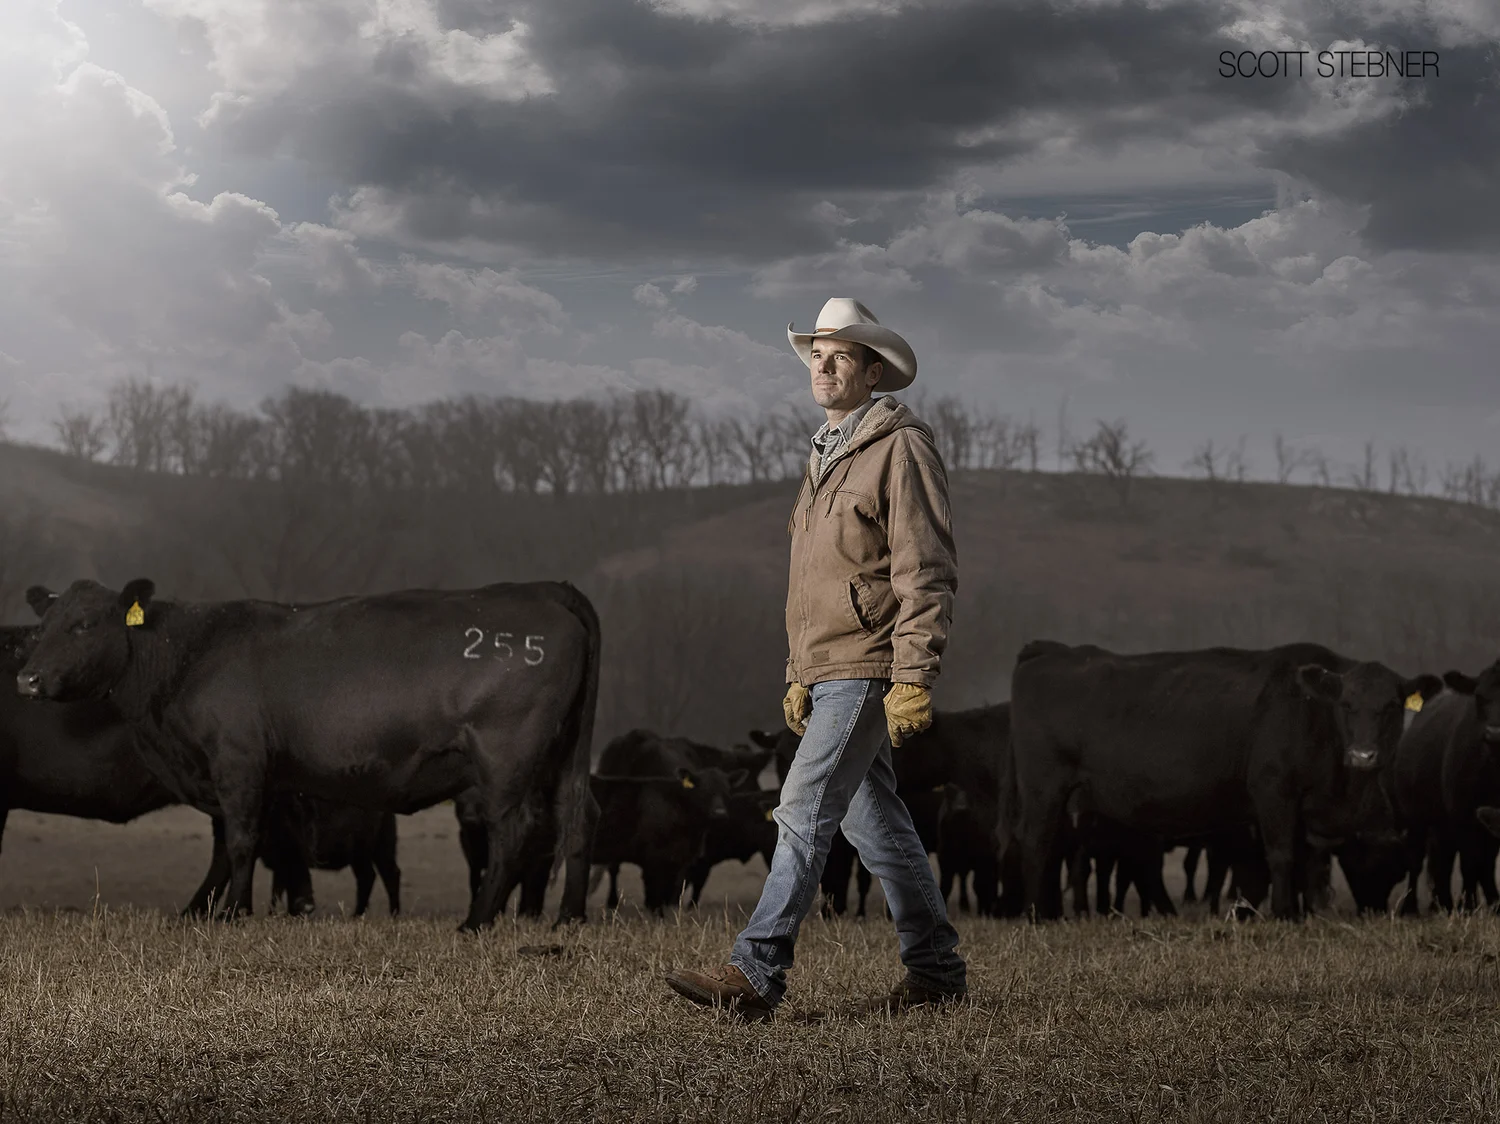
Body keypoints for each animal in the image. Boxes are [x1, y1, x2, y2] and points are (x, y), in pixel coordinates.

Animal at [18, 578, 601, 930]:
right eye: (41, 627)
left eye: (85, 624)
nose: (27, 679)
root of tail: (542, 589)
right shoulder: (255, 777)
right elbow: (245, 847)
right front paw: (217, 910)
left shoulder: (237, 761)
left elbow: (240, 841)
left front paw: (232, 913)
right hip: (563, 756)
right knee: (575, 821)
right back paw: (568, 916)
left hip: (506, 757)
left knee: (515, 831)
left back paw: (477, 920)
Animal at [588, 766, 746, 913]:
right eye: (704, 791)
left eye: (727, 791)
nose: (720, 814)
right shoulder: (655, 858)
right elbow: (656, 897)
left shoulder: (677, 861)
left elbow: (671, 894)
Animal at [1008, 639, 1442, 920]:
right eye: (1347, 704)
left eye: (1392, 706)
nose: (1363, 755)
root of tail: (1048, 651)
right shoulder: (1273, 792)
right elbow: (1282, 855)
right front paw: (1282, 914)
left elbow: (1305, 862)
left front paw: (1300, 914)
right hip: (1044, 789)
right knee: (1035, 845)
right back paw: (1034, 914)